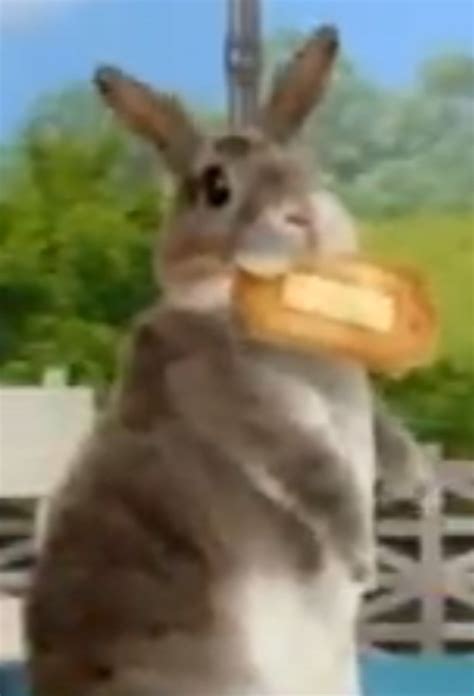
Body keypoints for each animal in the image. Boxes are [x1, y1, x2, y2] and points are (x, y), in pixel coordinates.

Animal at [25, 25, 431, 696]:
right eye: (217, 188)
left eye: (305, 170)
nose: (301, 217)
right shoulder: (238, 398)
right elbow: (315, 472)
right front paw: (362, 560)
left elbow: (382, 423)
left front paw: (419, 484)